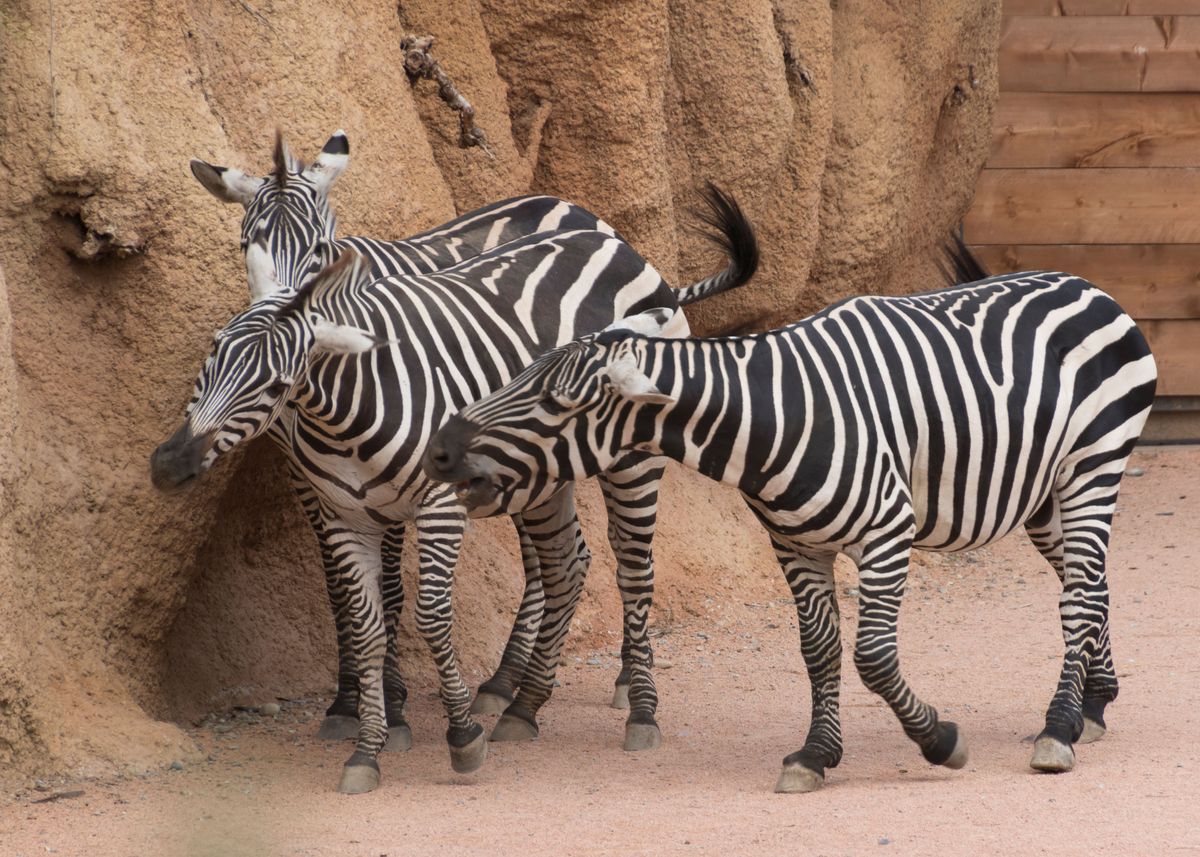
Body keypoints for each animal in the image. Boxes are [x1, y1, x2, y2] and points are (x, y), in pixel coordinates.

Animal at [151, 193, 759, 794]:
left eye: (276, 384)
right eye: (210, 357)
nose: (169, 465)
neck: (346, 409)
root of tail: (616, 245)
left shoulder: (437, 507)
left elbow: (431, 615)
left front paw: (461, 737)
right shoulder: (345, 514)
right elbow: (366, 625)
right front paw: (367, 748)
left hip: (635, 460)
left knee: (633, 571)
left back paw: (639, 708)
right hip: (547, 470)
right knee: (566, 564)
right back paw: (524, 706)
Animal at [423, 260, 1158, 793]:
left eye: (554, 402)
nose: (439, 450)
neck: (779, 416)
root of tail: (1083, 283)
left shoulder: (887, 532)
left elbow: (872, 655)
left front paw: (940, 740)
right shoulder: (795, 545)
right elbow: (820, 651)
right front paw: (816, 753)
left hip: (1093, 466)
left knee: (1078, 597)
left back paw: (1058, 726)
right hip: (1044, 497)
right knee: (1092, 584)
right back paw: (1094, 704)